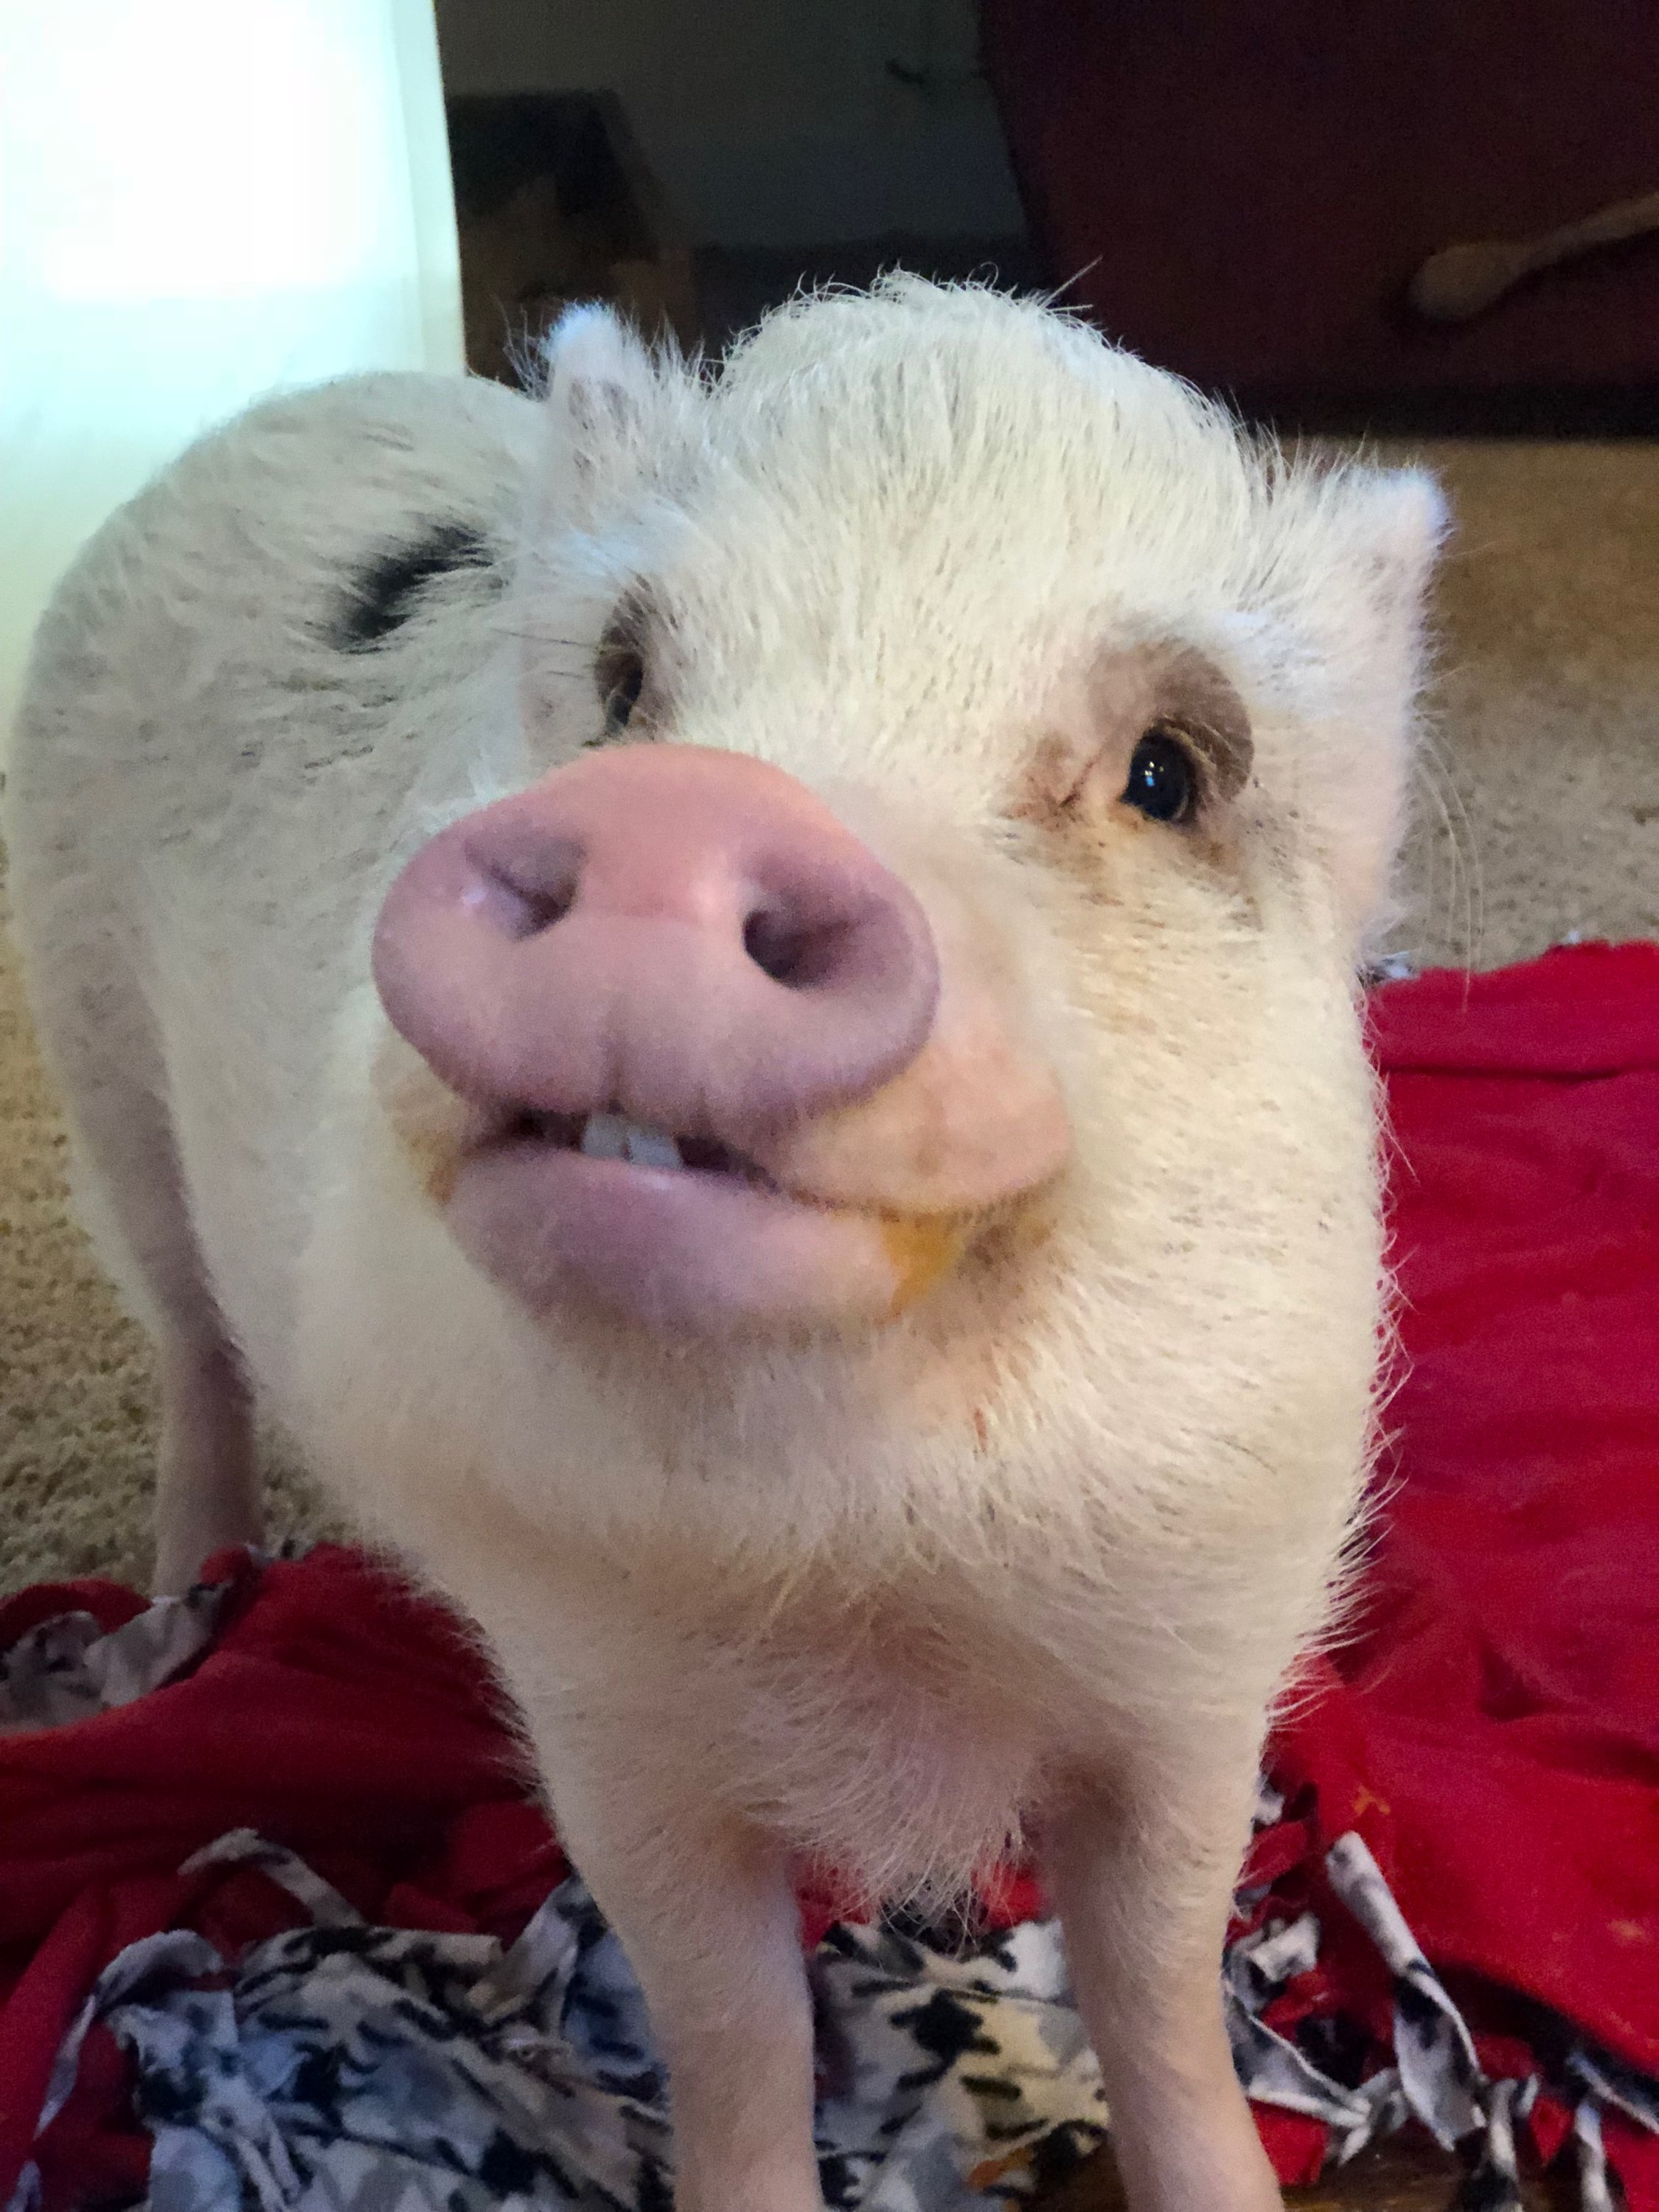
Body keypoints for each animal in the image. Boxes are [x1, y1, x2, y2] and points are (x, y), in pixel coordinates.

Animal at [4, 277, 1443, 2212]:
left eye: (1170, 770)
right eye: (626, 681)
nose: (676, 817)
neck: (868, 1571)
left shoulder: (1203, 1655)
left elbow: (1159, 1988)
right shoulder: (605, 1708)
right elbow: (731, 2028)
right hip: (94, 1057)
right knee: (190, 1342)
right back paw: (196, 1592)